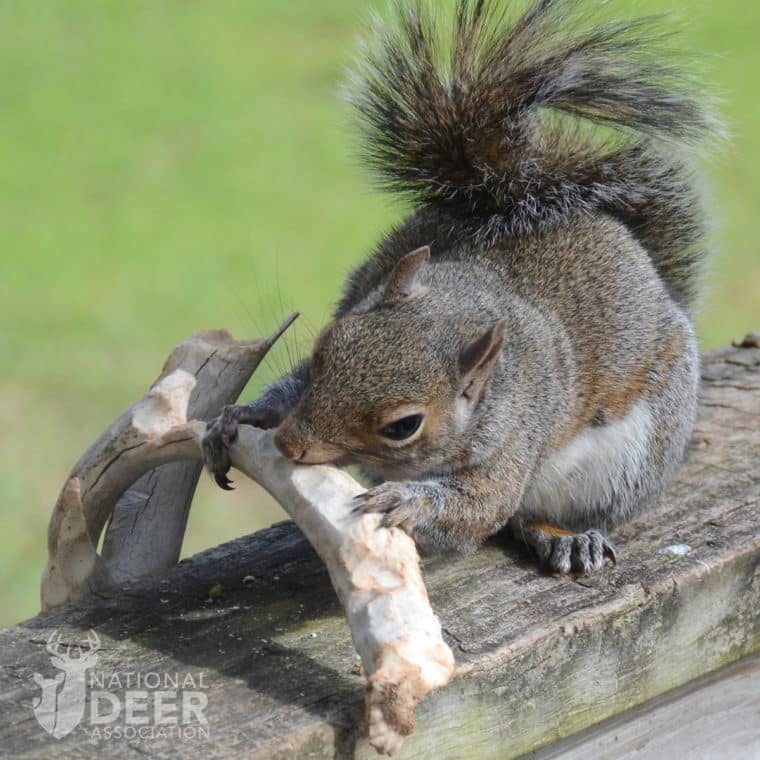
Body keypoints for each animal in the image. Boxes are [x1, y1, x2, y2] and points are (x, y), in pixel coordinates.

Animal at [203, 0, 720, 575]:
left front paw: (406, 501)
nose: (290, 444)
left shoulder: (517, 433)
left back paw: (564, 536)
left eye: (404, 426)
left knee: (529, 514)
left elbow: (482, 504)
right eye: (323, 351)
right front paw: (240, 416)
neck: (462, 303)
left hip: (634, 459)